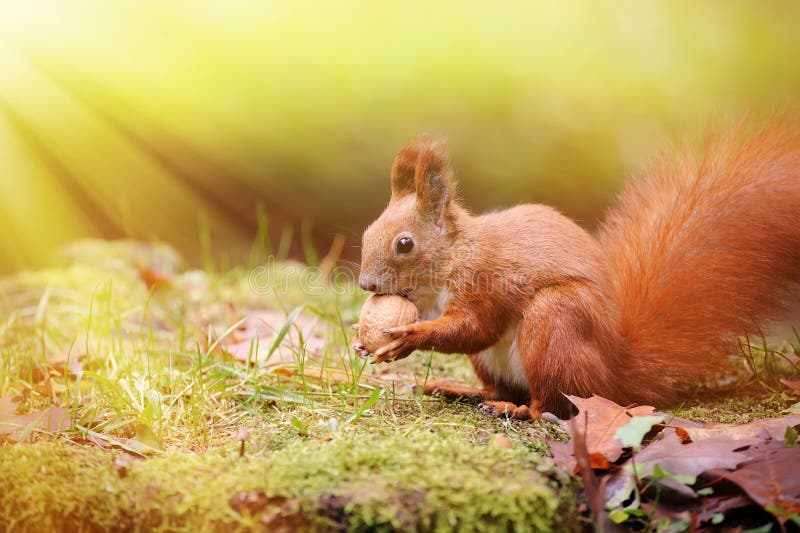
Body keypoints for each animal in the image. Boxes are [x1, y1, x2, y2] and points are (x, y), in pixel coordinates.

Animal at [353, 119, 800, 419]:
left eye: (405, 244)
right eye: (367, 230)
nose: (366, 284)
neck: (449, 259)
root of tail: (615, 376)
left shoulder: (485, 280)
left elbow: (473, 327)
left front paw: (410, 336)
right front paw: (363, 338)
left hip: (556, 323)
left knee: (554, 402)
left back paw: (519, 411)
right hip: (500, 359)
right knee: (502, 386)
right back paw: (463, 390)